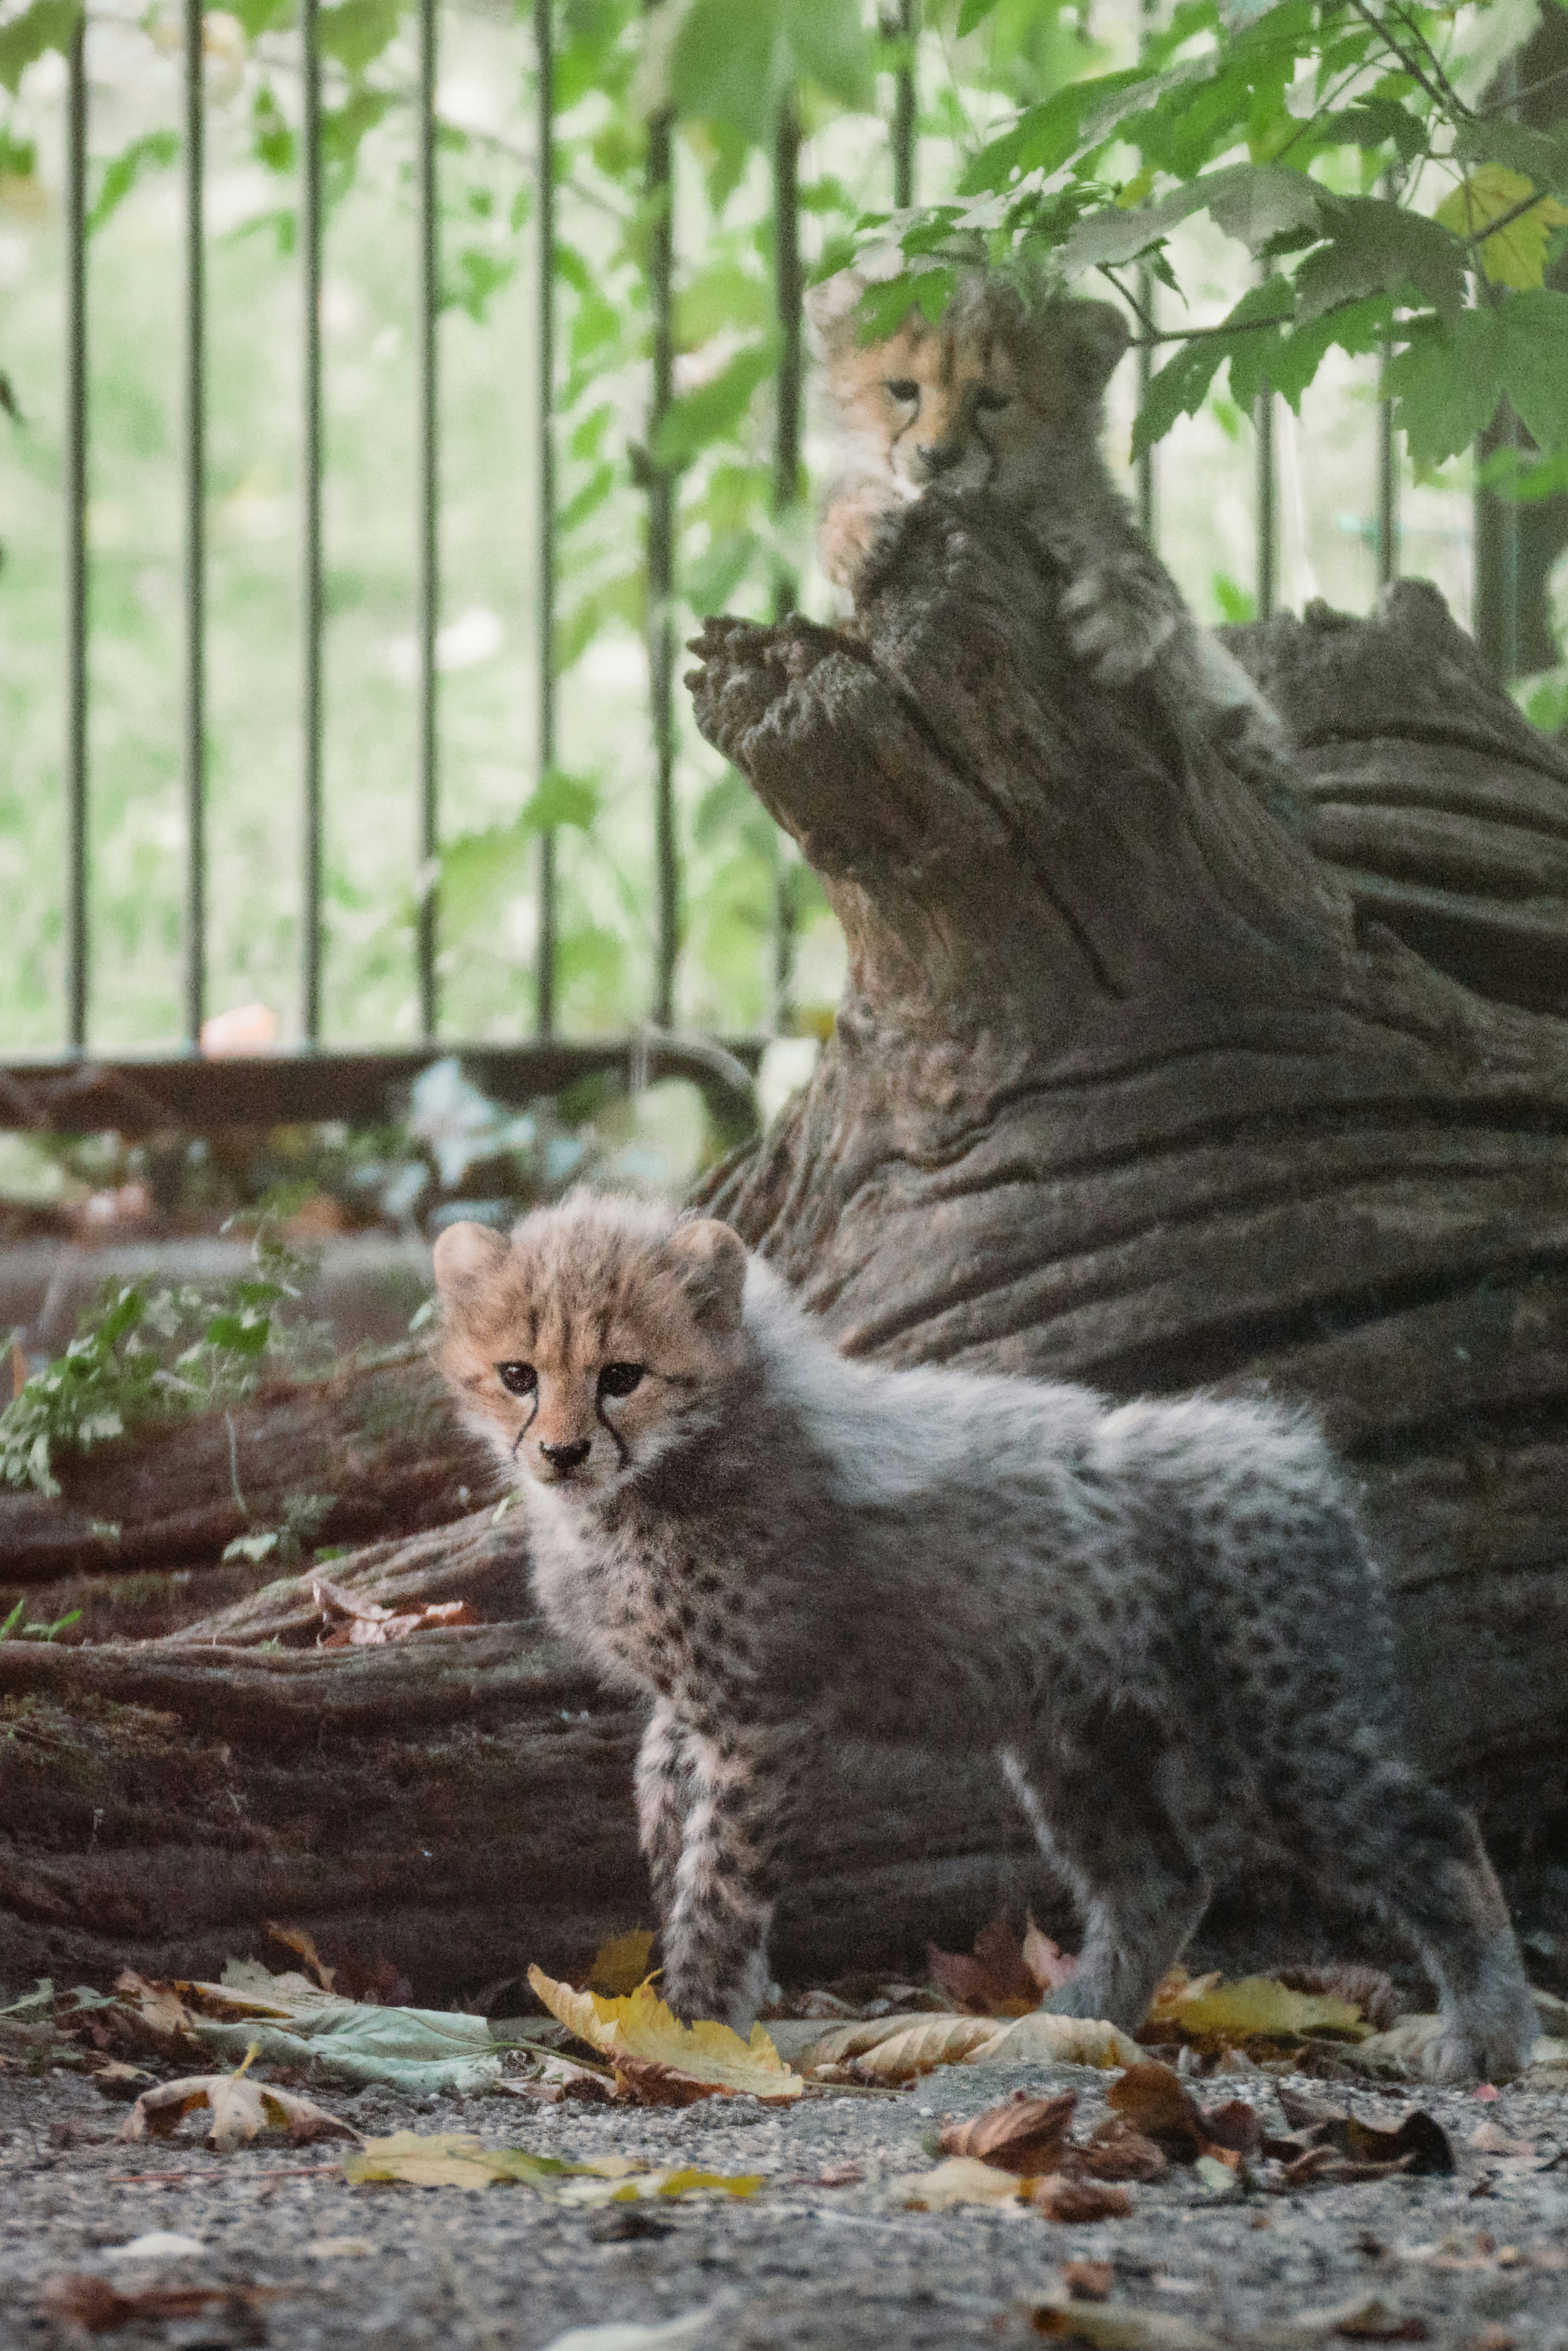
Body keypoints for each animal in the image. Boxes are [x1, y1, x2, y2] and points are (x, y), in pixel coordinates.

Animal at [433, 1190, 1539, 2084]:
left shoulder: (759, 1717)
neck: (664, 1470)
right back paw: (1072, 2027)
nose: (561, 1451)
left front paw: (695, 2028)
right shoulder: (685, 1713)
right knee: (1161, 1879)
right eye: (518, 1373)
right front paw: (679, 2010)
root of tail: (1292, 1450)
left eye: (621, 1374)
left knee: (1438, 1831)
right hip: (1078, 1741)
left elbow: (721, 1878)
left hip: (1285, 1732)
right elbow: (670, 1842)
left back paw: (1488, 2036)